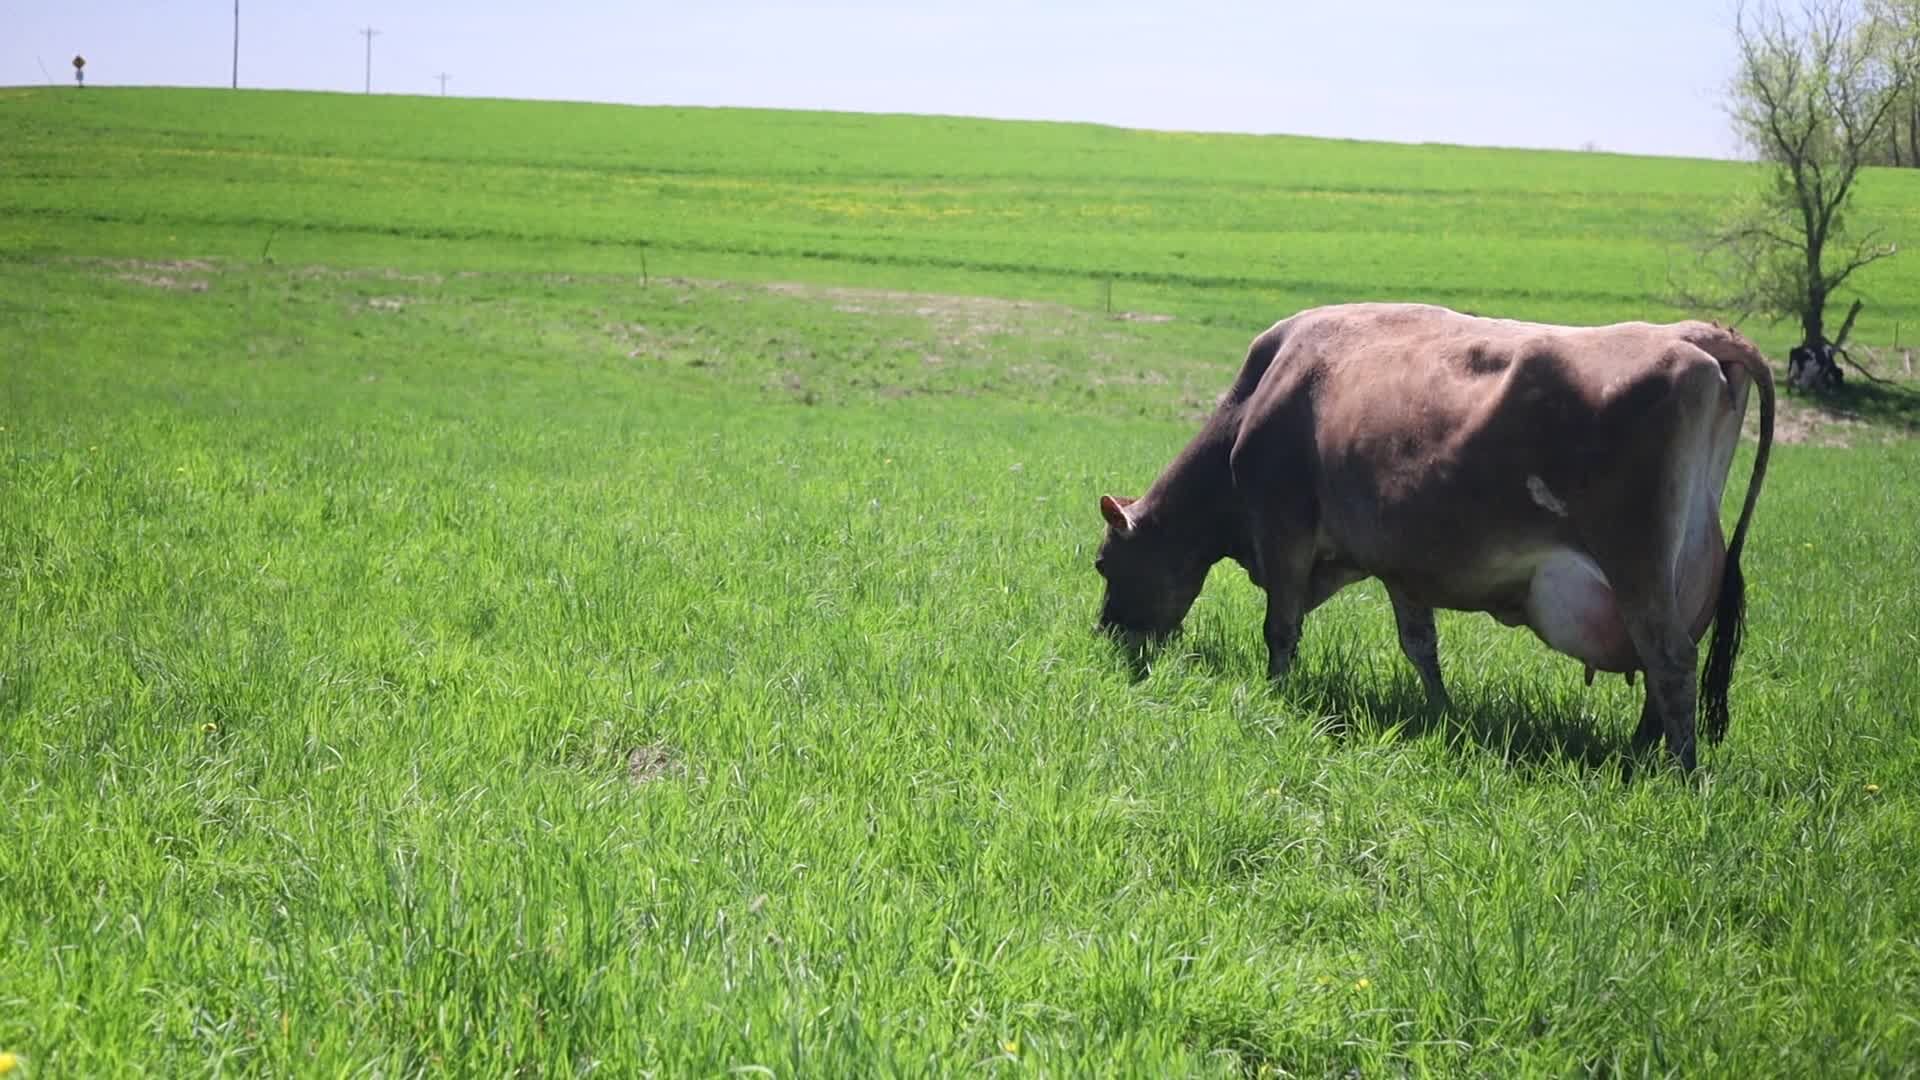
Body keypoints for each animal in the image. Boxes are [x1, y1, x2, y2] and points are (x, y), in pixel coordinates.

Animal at [1093, 303, 1774, 771]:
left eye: (1104, 564)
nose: (1105, 634)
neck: (1256, 403)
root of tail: (1691, 333)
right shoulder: (1400, 564)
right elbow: (1420, 645)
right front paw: (1442, 715)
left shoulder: (1282, 529)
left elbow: (1280, 628)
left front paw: (1276, 693)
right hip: (1682, 575)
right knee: (1665, 667)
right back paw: (1639, 754)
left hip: (1636, 564)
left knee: (1671, 659)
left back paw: (1679, 773)